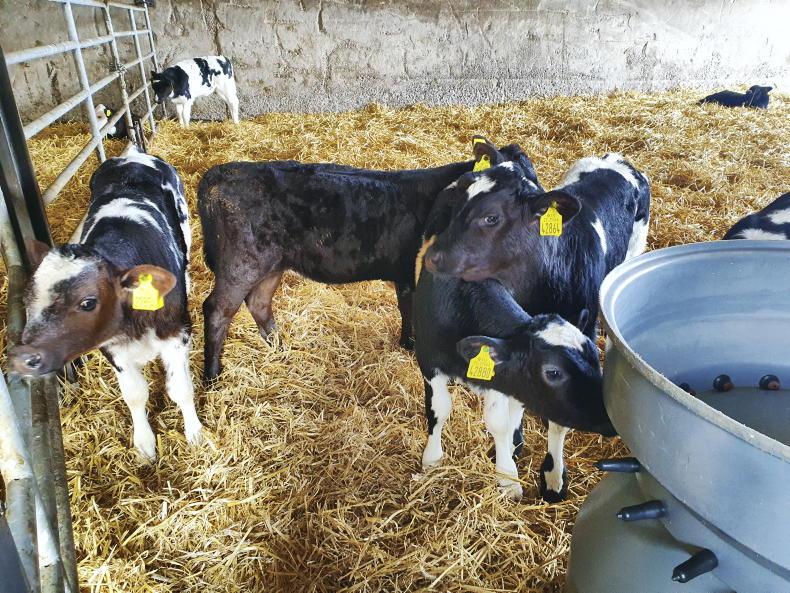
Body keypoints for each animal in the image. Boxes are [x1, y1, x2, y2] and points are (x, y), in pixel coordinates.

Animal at [8, 147, 202, 461]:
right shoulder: (112, 348)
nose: (23, 358)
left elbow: (181, 389)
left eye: (88, 302)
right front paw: (144, 442)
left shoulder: (176, 333)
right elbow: (135, 394)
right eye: (27, 299)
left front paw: (195, 432)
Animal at [197, 138, 527, 382]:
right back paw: (212, 376)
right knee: (218, 310)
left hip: (272, 263)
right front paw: (411, 346)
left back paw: (280, 348)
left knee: (259, 303)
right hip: (241, 262)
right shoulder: (412, 272)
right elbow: (411, 309)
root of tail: (218, 174)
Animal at [420, 152, 650, 501]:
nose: (432, 255)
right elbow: (453, 408)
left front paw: (547, 477)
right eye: (457, 200)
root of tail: (616, 158)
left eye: (491, 217)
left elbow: (547, 421)